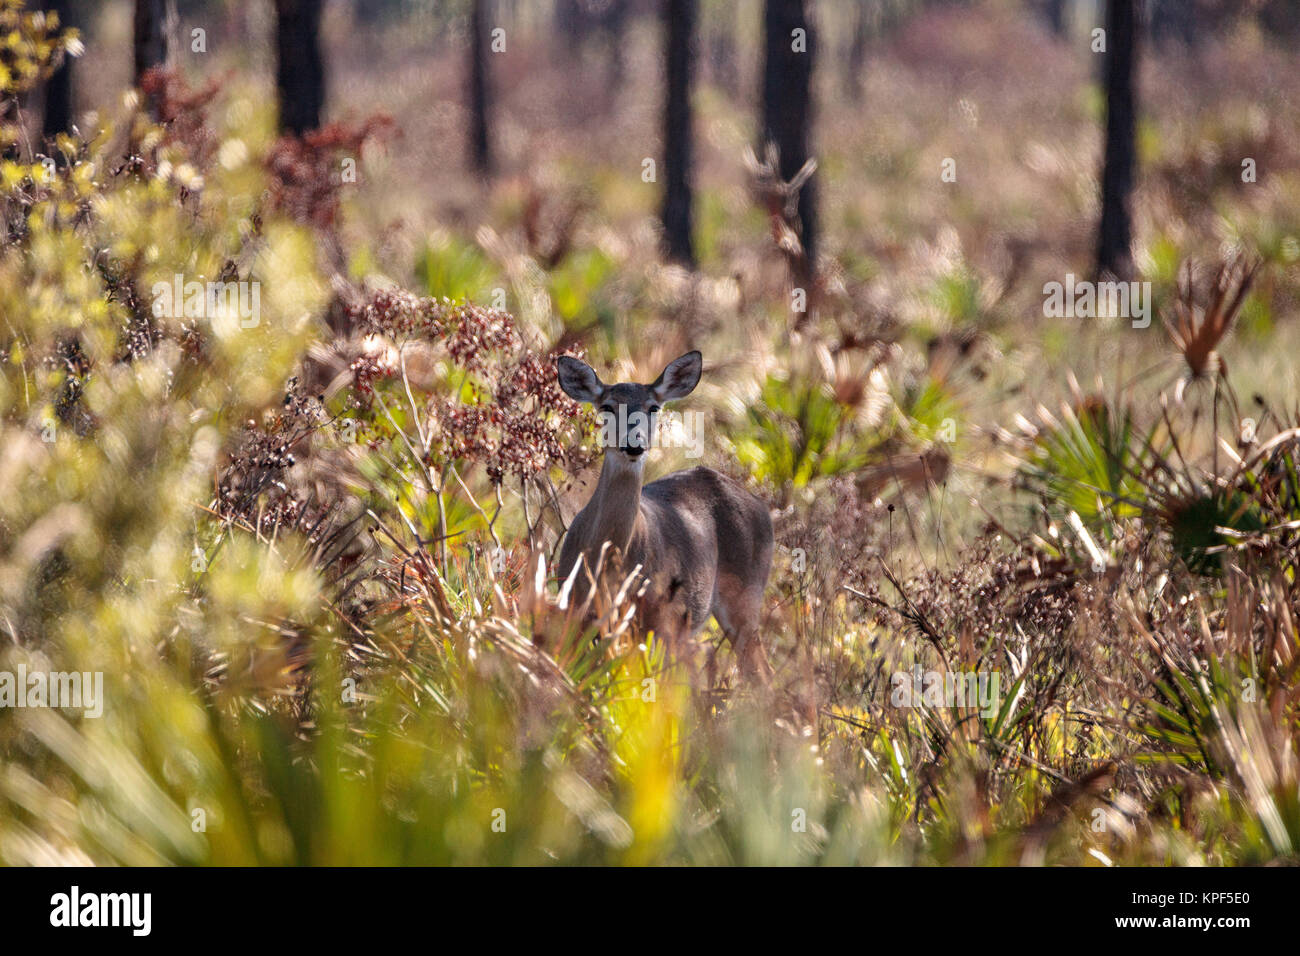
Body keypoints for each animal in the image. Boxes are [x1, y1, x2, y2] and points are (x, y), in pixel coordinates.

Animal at [555, 351, 775, 686]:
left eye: (653, 407)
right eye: (607, 406)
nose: (634, 444)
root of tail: (764, 510)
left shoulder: (657, 618)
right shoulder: (574, 612)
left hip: (744, 598)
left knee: (763, 673)